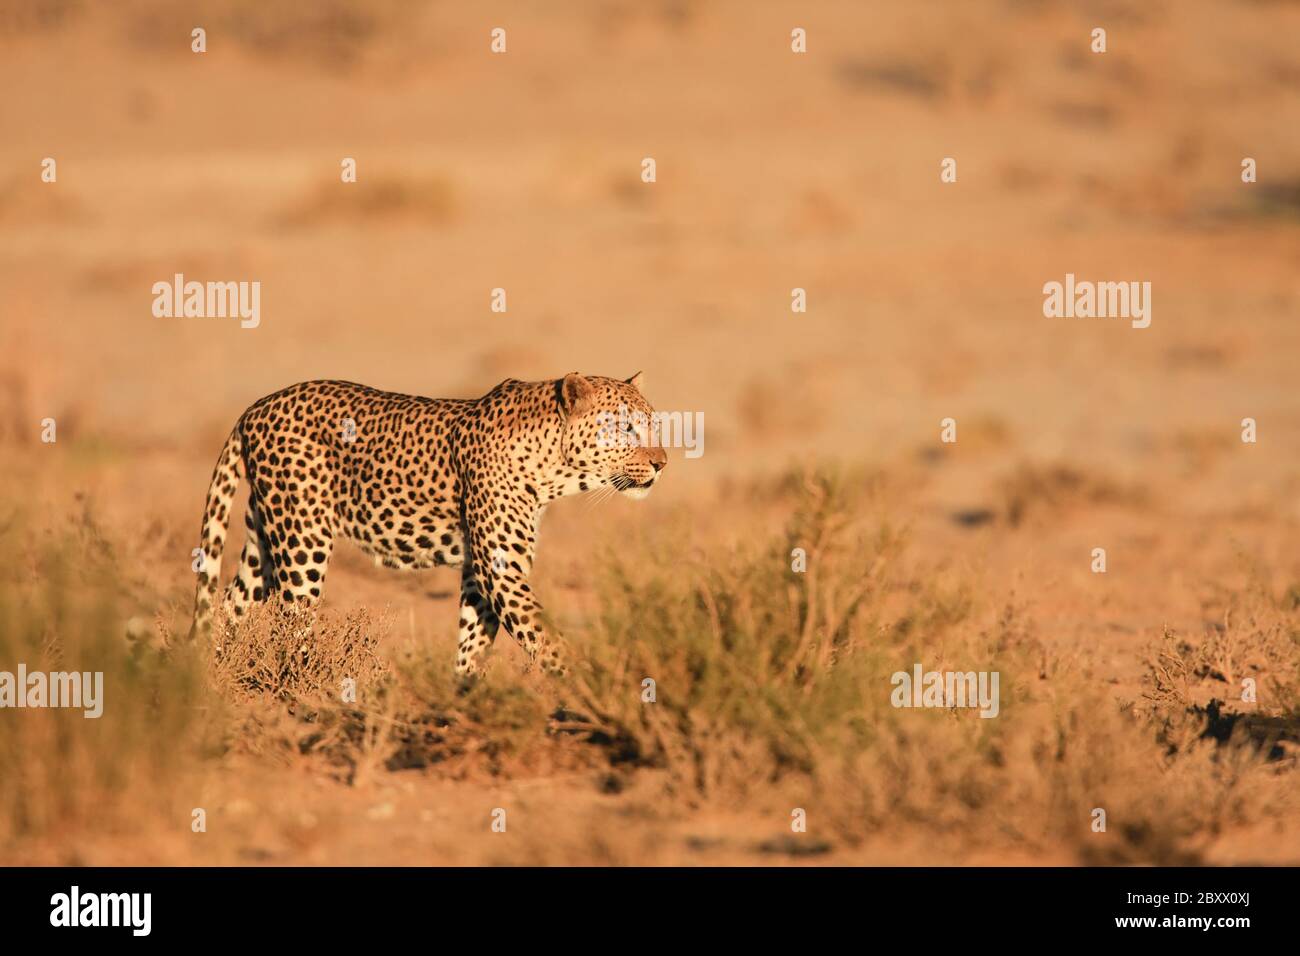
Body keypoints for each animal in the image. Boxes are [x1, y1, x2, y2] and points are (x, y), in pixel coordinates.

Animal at [189, 372, 667, 679]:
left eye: (653, 425)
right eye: (626, 428)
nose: (662, 463)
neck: (555, 466)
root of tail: (256, 407)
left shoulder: (478, 571)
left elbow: (475, 640)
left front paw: (463, 696)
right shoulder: (500, 571)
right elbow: (544, 638)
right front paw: (591, 684)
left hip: (265, 543)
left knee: (229, 605)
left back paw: (215, 674)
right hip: (303, 542)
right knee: (292, 624)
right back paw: (303, 688)